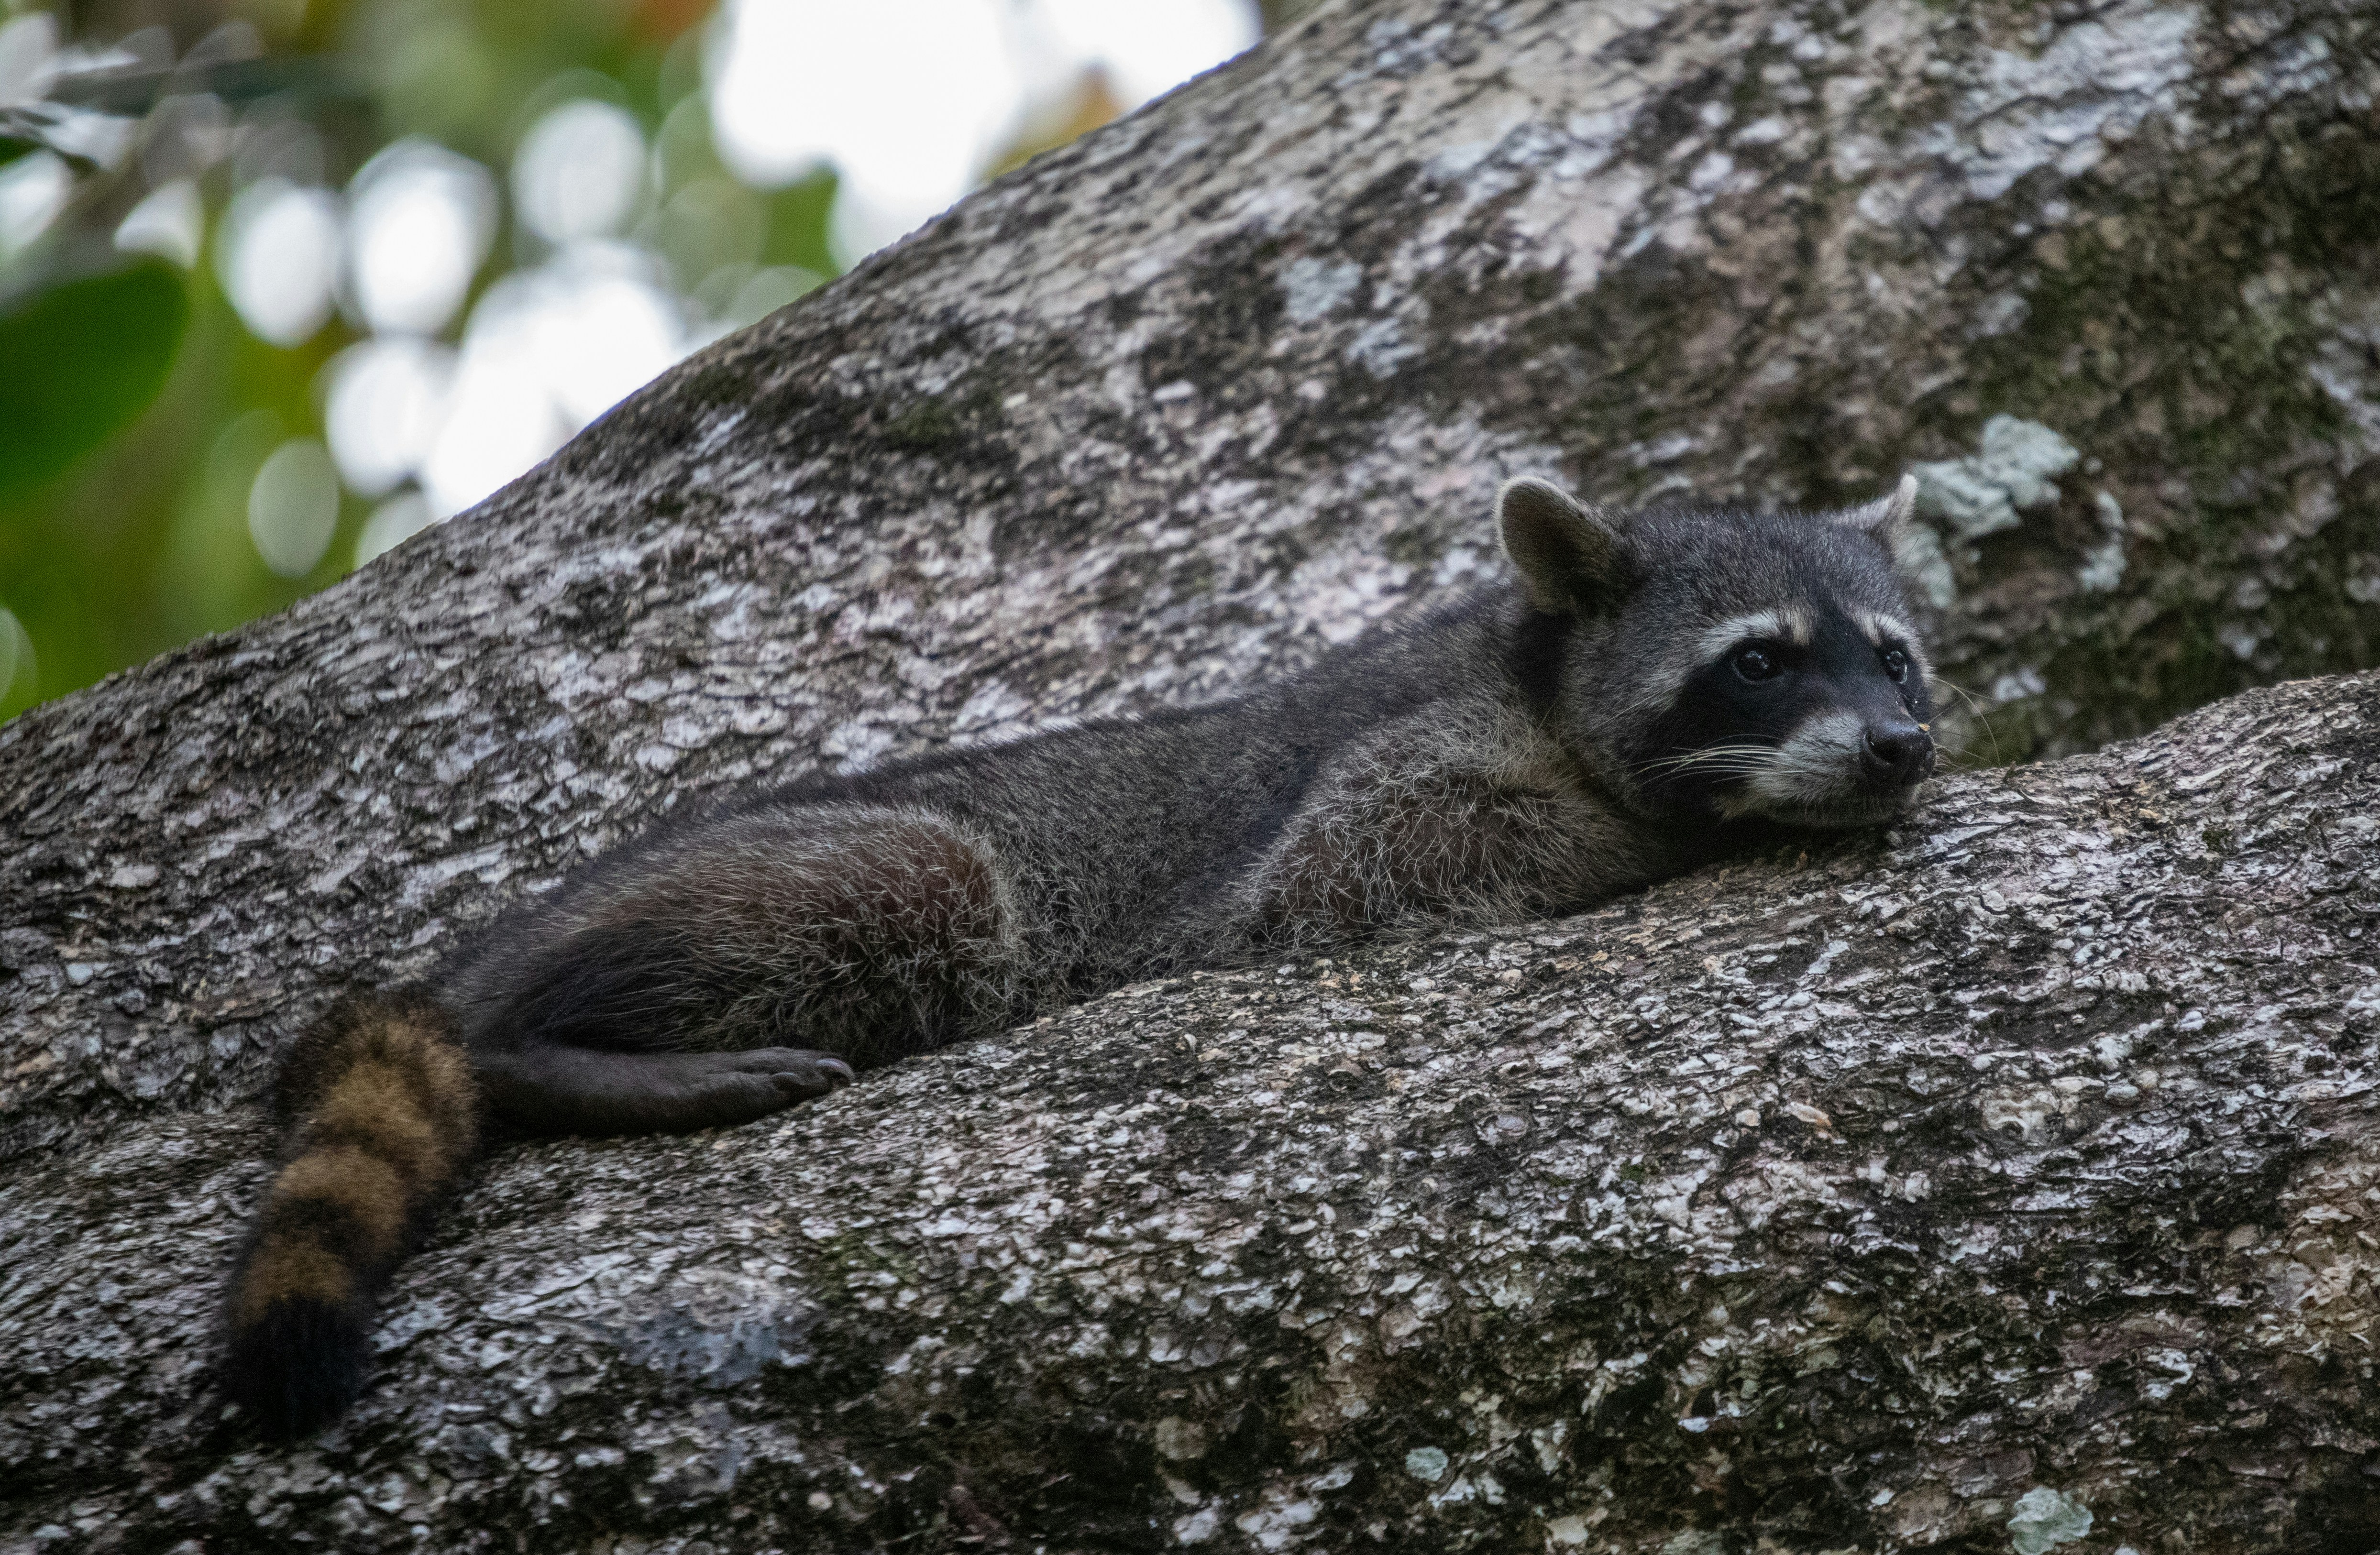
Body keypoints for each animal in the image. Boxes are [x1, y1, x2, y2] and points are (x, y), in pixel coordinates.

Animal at [221, 474, 1934, 1434]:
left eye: (1897, 655)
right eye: (1759, 662)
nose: (1904, 746)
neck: (1535, 657)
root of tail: (480, 951)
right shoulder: (1375, 793)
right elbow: (1377, 869)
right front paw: (1678, 835)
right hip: (858, 877)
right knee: (918, 877)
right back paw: (554, 1042)